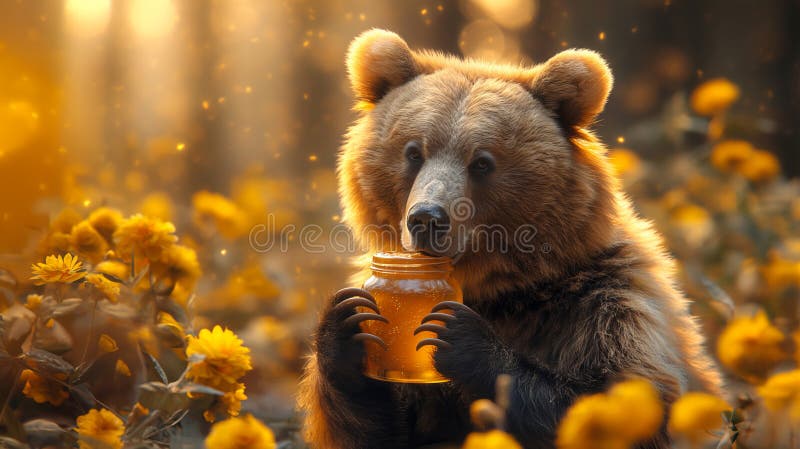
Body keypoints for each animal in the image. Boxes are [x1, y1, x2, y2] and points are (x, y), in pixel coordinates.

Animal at [298, 29, 724, 449]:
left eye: (482, 162)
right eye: (414, 152)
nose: (427, 218)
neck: (499, 288)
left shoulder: (604, 305)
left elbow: (615, 400)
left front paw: (460, 336)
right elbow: (375, 426)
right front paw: (348, 325)